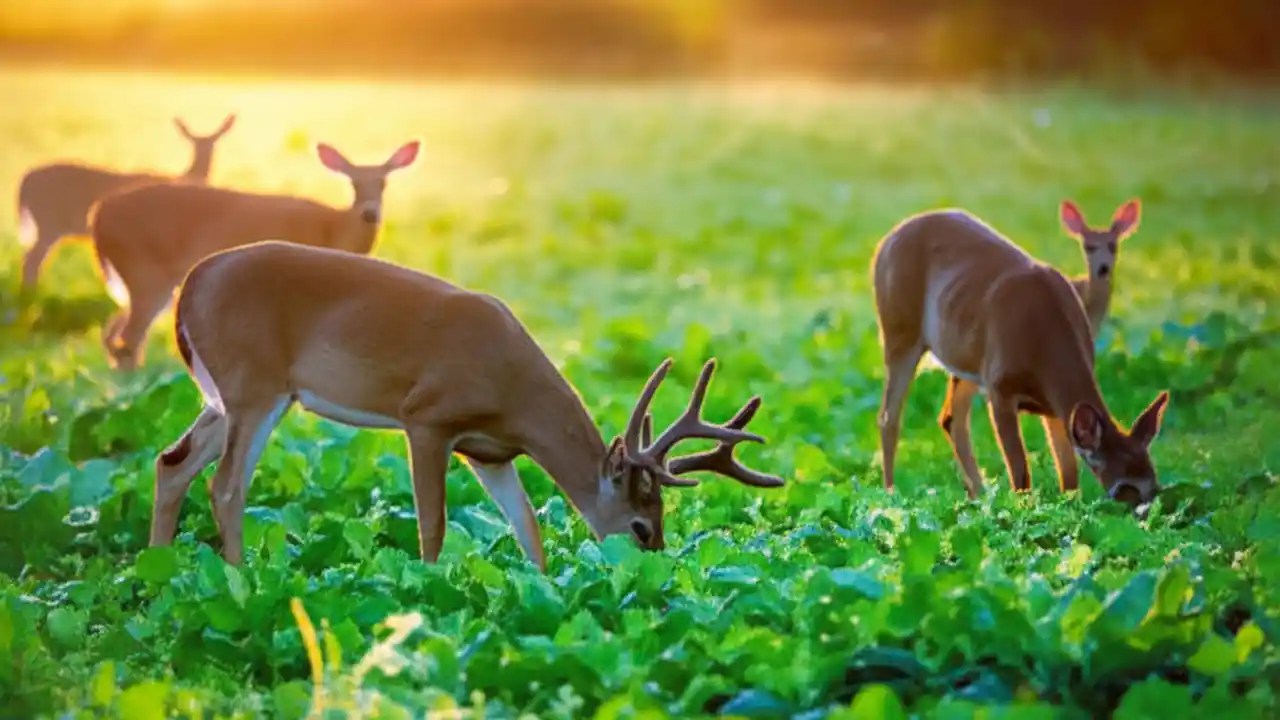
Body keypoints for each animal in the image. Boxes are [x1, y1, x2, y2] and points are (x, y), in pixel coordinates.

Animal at [89, 140, 418, 371]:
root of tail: (97, 215)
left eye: (384, 183)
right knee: (127, 338)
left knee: (113, 334)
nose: (370, 213)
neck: (334, 232)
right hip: (144, 270)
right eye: (353, 183)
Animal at [151, 240, 785, 567]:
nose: (656, 566)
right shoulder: (427, 419)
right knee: (226, 485)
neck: (510, 383)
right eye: (640, 525)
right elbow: (432, 523)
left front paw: (543, 587)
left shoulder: (490, 453)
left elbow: (527, 527)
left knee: (171, 462)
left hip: (227, 396)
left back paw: (157, 574)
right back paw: (240, 580)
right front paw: (428, 591)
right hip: (255, 387)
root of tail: (188, 286)